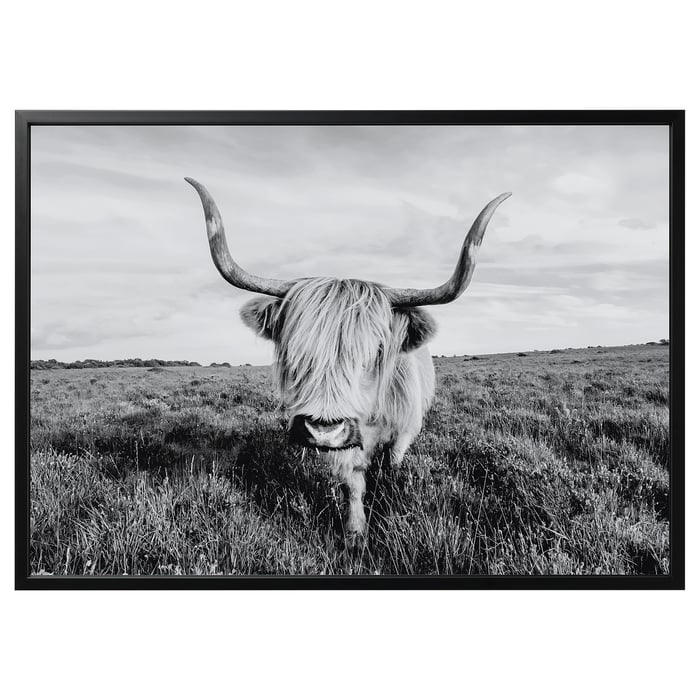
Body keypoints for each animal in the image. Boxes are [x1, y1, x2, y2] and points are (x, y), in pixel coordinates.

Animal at [186, 177, 510, 539]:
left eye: (376, 352)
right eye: (295, 350)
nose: (323, 432)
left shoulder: (404, 430)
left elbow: (392, 465)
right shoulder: (346, 447)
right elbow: (353, 483)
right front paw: (355, 532)